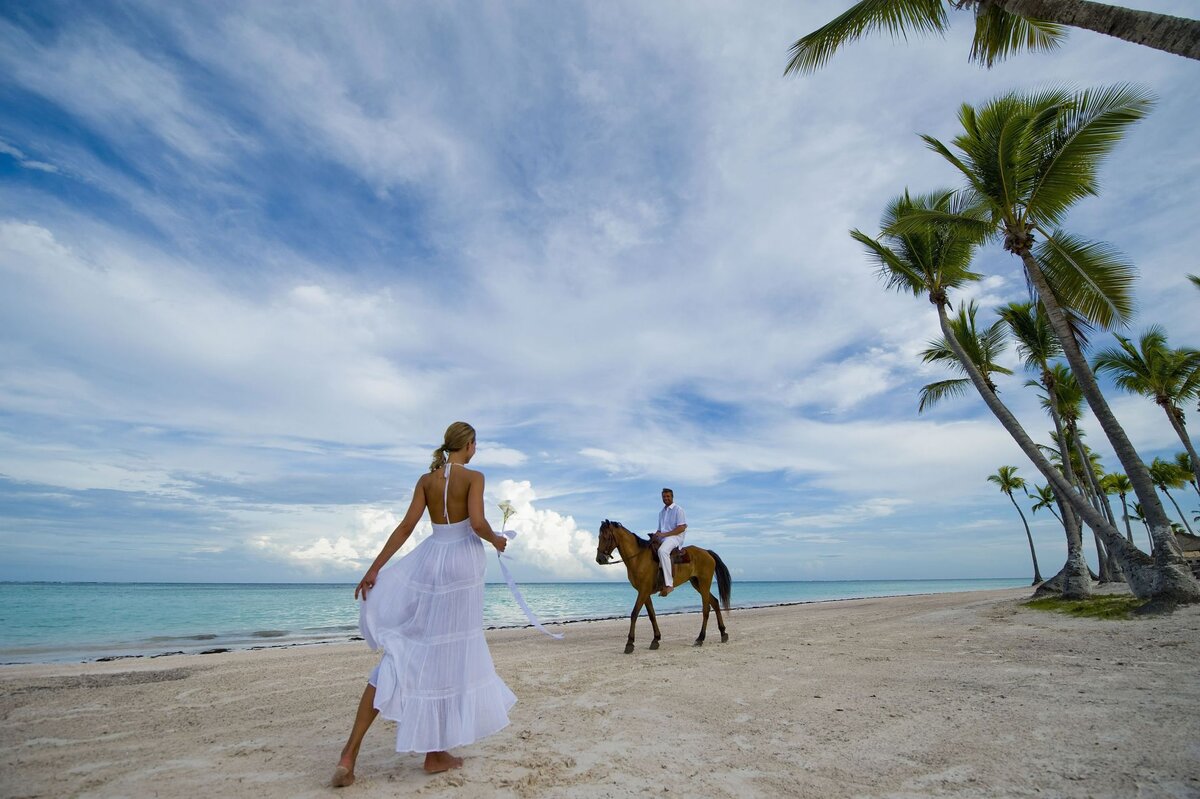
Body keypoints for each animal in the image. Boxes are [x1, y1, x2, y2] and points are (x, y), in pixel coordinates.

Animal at [597, 515, 729, 652]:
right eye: (599, 537)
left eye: (606, 537)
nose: (599, 559)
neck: (638, 558)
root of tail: (707, 552)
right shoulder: (644, 592)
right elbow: (652, 615)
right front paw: (656, 639)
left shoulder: (643, 591)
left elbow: (634, 614)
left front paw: (630, 643)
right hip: (697, 583)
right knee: (715, 602)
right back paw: (723, 633)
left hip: (704, 583)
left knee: (706, 609)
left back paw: (700, 638)